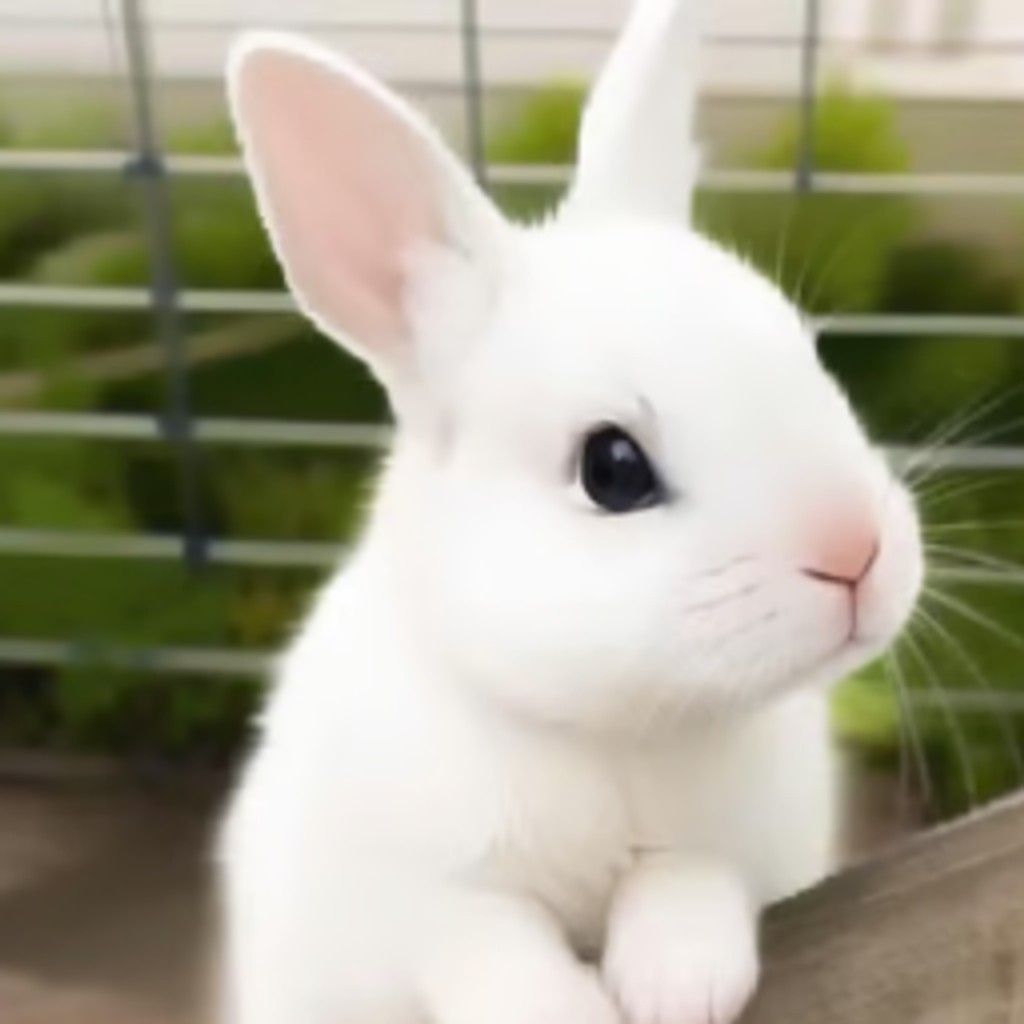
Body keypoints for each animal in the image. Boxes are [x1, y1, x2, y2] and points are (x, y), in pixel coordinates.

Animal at [216, 1, 924, 1023]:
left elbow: (689, 875)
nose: (855, 549)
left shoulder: (740, 845)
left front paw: (680, 984)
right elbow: (494, 952)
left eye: (809, 350)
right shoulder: (423, 905)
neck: (609, 734)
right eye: (612, 469)